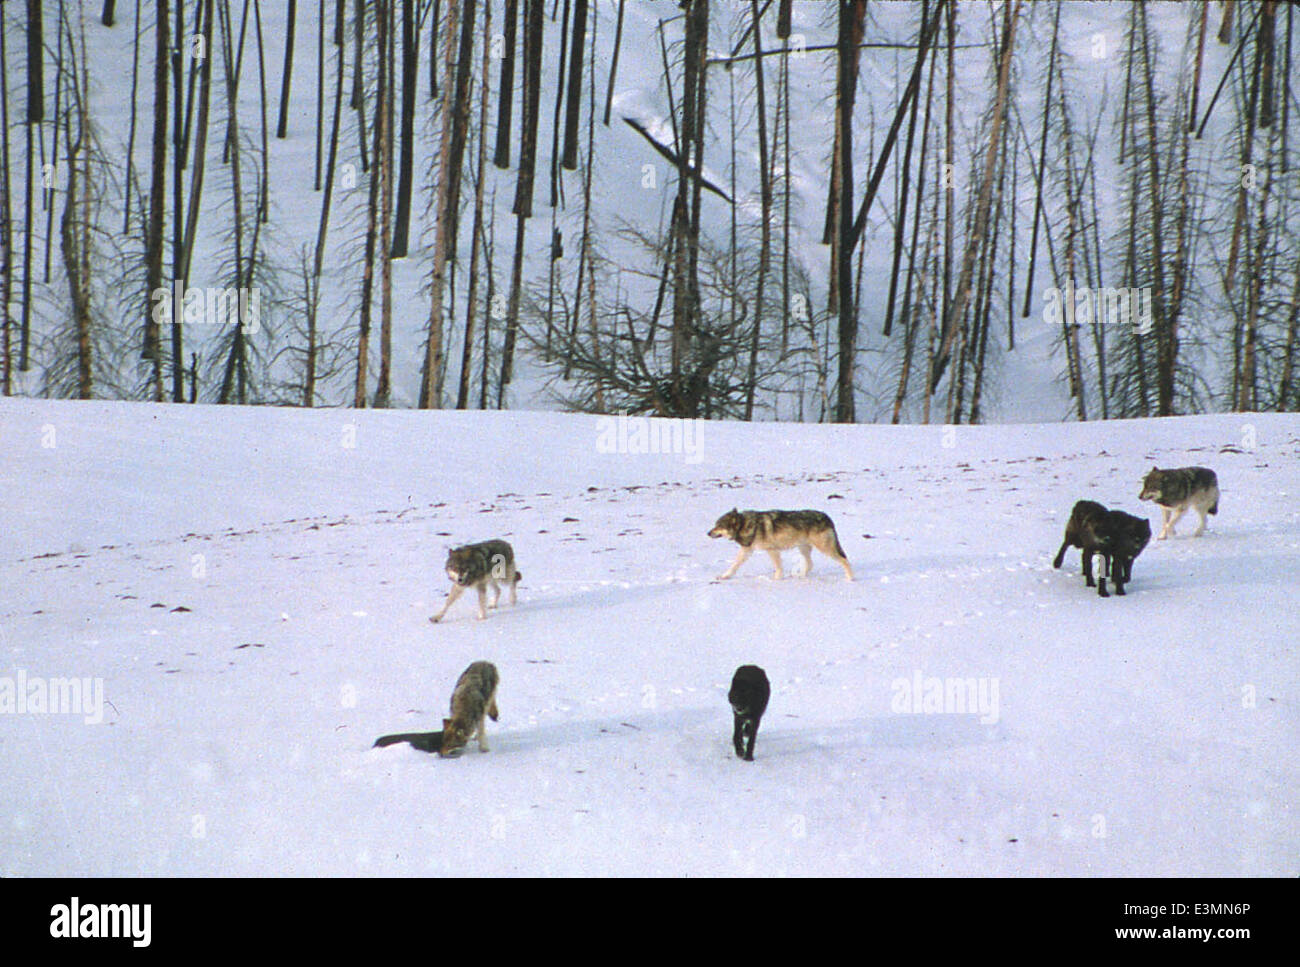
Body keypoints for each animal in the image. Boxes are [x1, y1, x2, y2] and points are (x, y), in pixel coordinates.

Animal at [708, 509, 854, 582]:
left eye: (718, 526)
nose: (708, 533)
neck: (746, 524)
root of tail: (828, 517)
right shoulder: (746, 551)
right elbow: (734, 565)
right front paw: (725, 576)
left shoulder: (772, 550)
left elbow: (778, 567)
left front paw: (776, 580)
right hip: (803, 548)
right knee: (810, 564)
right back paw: (800, 576)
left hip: (824, 548)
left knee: (845, 560)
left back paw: (850, 578)